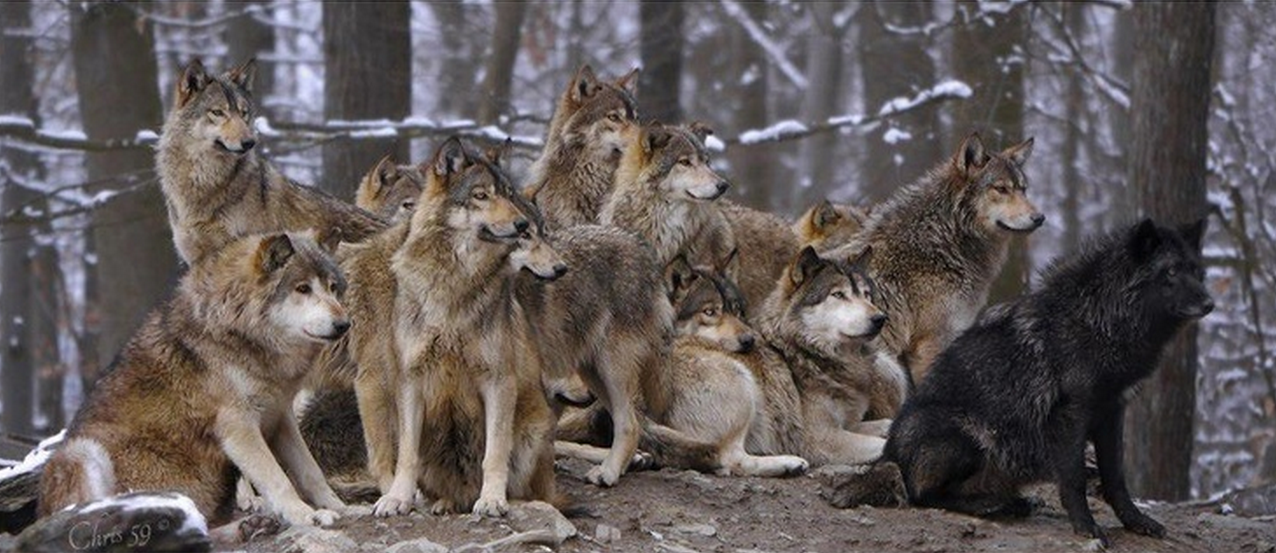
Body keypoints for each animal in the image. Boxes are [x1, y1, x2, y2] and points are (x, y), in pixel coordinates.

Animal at [38, 233, 352, 528]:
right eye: (303, 288)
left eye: (332, 288)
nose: (344, 324)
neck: (235, 332)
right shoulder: (239, 428)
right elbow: (278, 479)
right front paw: (305, 515)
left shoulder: (280, 417)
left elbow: (311, 472)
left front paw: (339, 507)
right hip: (82, 451)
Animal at [884, 219, 1212, 547]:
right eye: (1171, 271)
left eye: (1196, 270)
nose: (1209, 303)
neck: (1102, 317)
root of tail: (889, 455)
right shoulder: (1072, 414)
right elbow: (1074, 478)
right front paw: (1086, 526)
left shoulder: (1113, 410)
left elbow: (1116, 477)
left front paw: (1136, 522)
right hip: (966, 435)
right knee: (923, 495)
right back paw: (990, 505)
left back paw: (1012, 503)